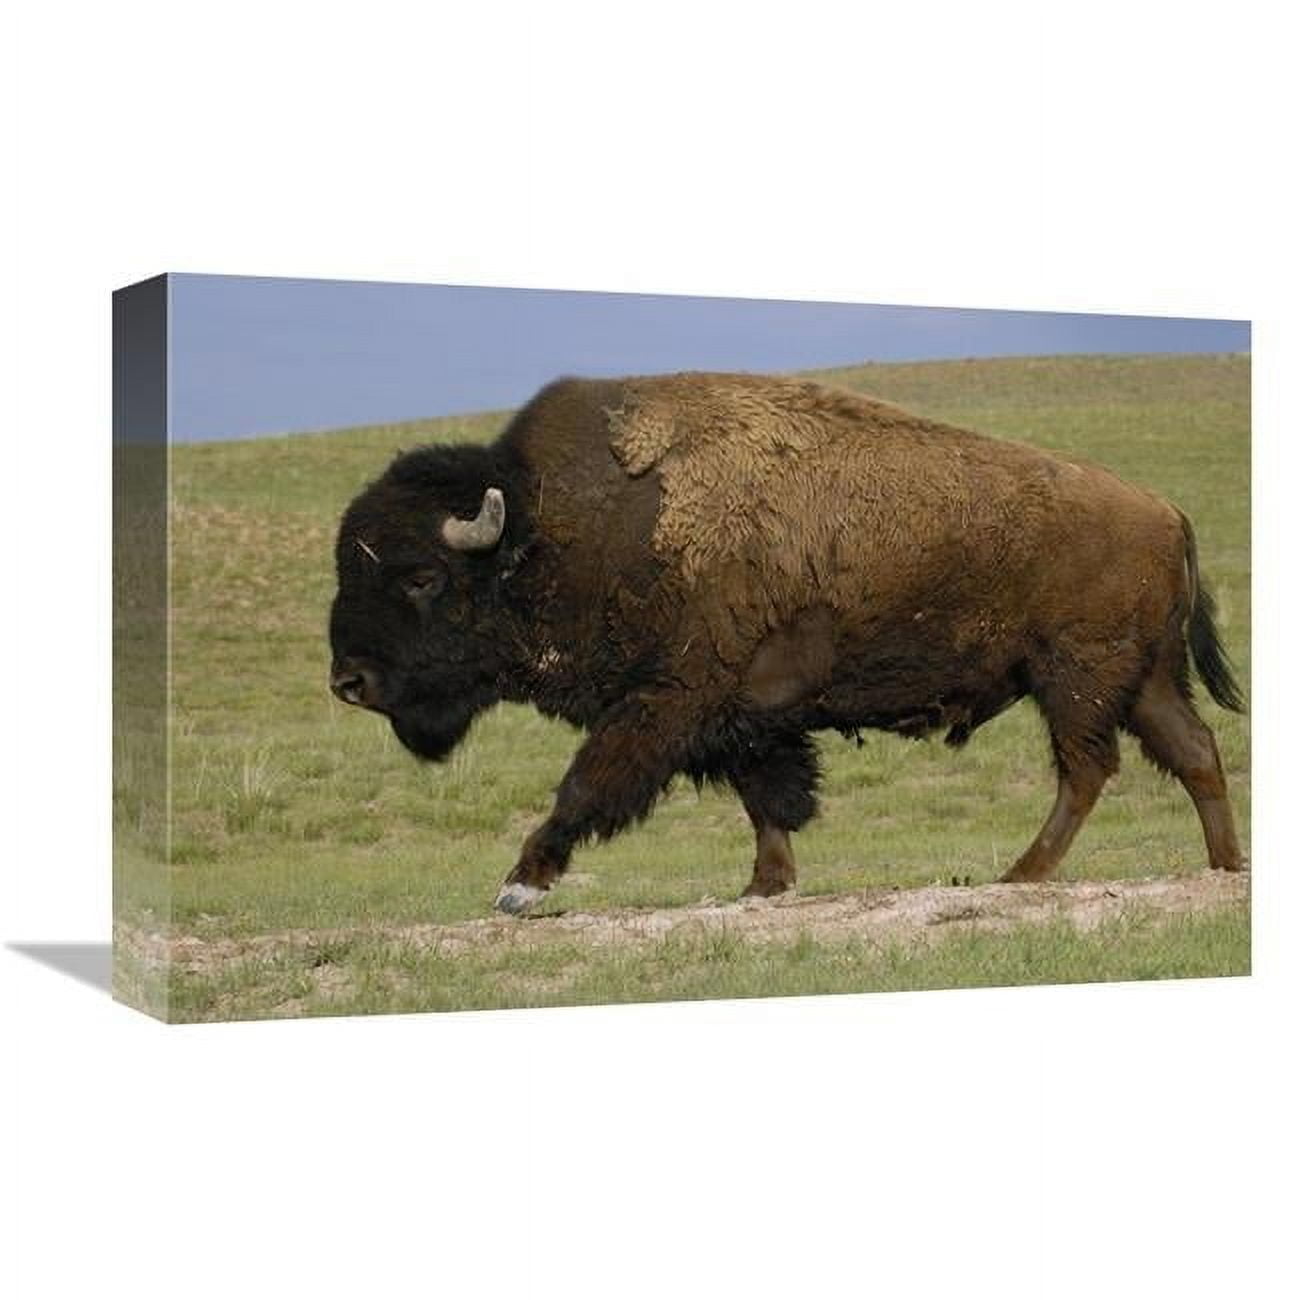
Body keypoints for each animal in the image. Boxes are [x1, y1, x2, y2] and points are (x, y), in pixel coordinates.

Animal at [329, 372, 1244, 914]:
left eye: (421, 576)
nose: (349, 682)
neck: (550, 525)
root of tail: (1166, 510)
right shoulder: (741, 714)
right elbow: (766, 798)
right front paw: (765, 886)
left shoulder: (666, 703)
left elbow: (589, 782)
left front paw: (520, 884)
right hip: (1141, 679)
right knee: (1192, 752)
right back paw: (1224, 867)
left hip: (1076, 677)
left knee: (1089, 768)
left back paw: (1024, 875)